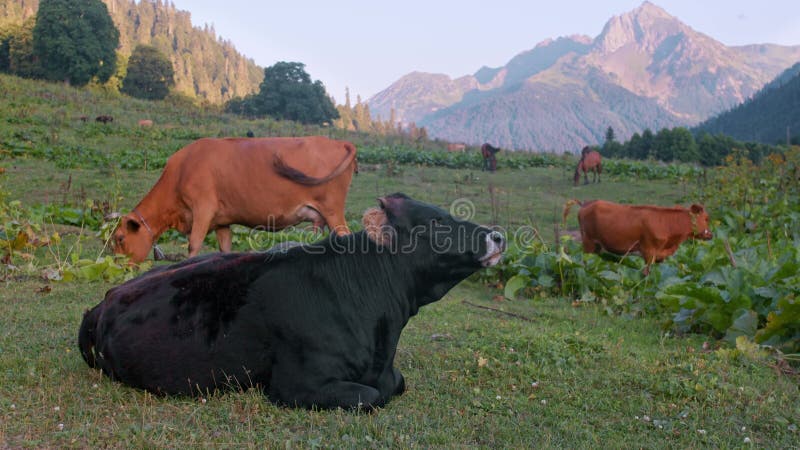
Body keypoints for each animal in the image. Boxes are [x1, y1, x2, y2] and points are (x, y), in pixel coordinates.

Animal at [79, 193, 506, 411]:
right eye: (436, 222)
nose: (498, 236)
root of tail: (103, 302)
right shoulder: (296, 385)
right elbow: (371, 396)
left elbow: (397, 384)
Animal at [112, 136, 358, 263]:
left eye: (120, 238)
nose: (119, 266)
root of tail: (339, 142)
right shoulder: (222, 222)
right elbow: (225, 249)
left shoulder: (203, 209)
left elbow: (193, 245)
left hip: (333, 210)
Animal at [563, 199, 712, 275]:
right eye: (706, 218)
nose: (711, 235)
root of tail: (586, 203)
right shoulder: (648, 252)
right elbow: (646, 274)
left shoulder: (660, 256)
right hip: (588, 242)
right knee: (584, 262)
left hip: (597, 246)